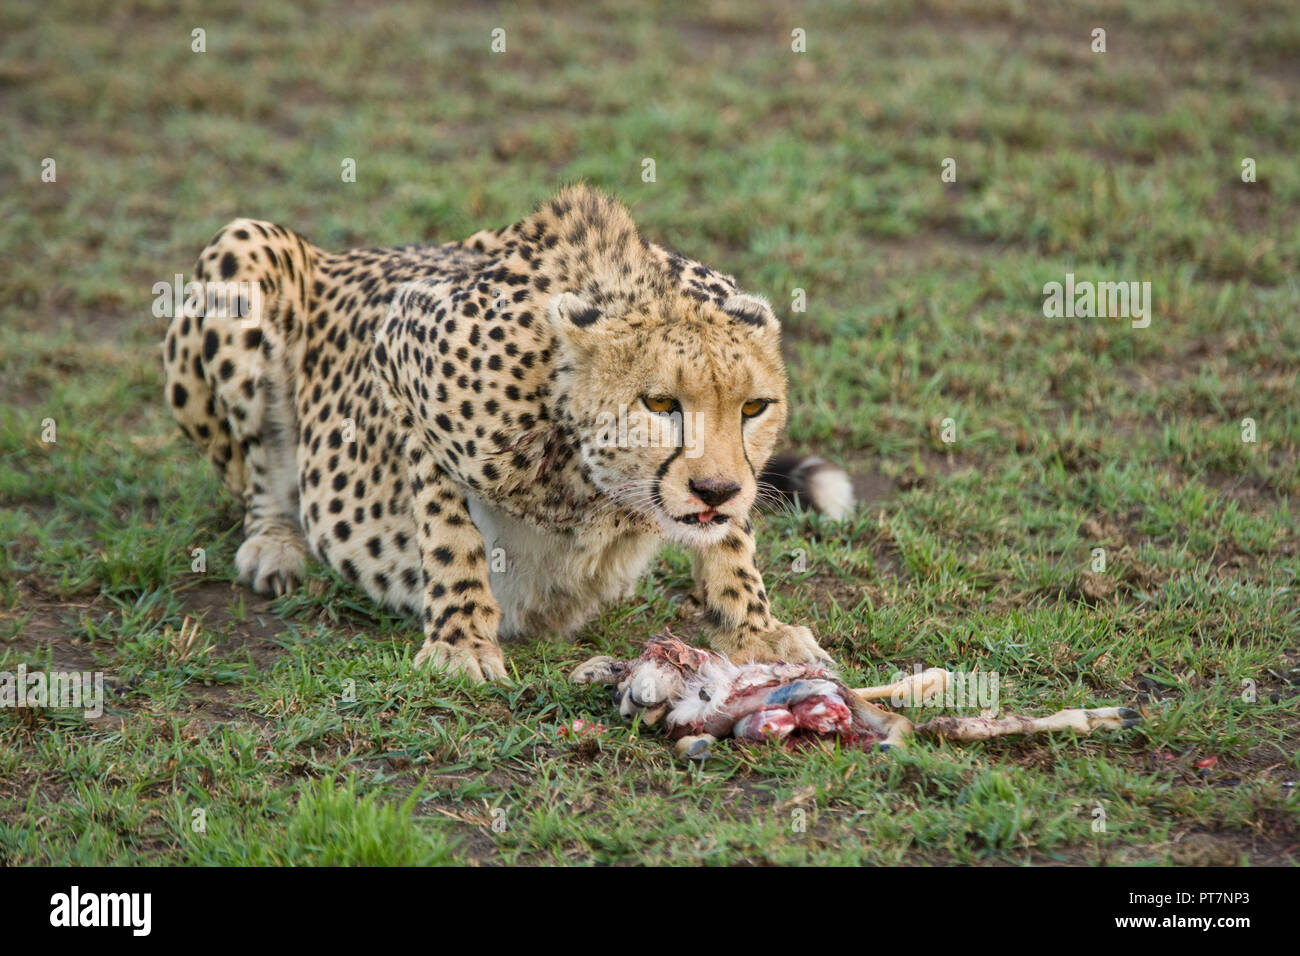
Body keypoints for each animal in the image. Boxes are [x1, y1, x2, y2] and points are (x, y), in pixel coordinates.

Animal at [162, 185, 854, 681]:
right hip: (245, 246)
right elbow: (448, 529)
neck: (595, 485)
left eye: (754, 407)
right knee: (258, 468)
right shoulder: (399, 351)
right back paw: (274, 542)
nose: (715, 490)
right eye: (659, 403)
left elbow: (731, 540)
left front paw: (754, 627)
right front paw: (463, 640)